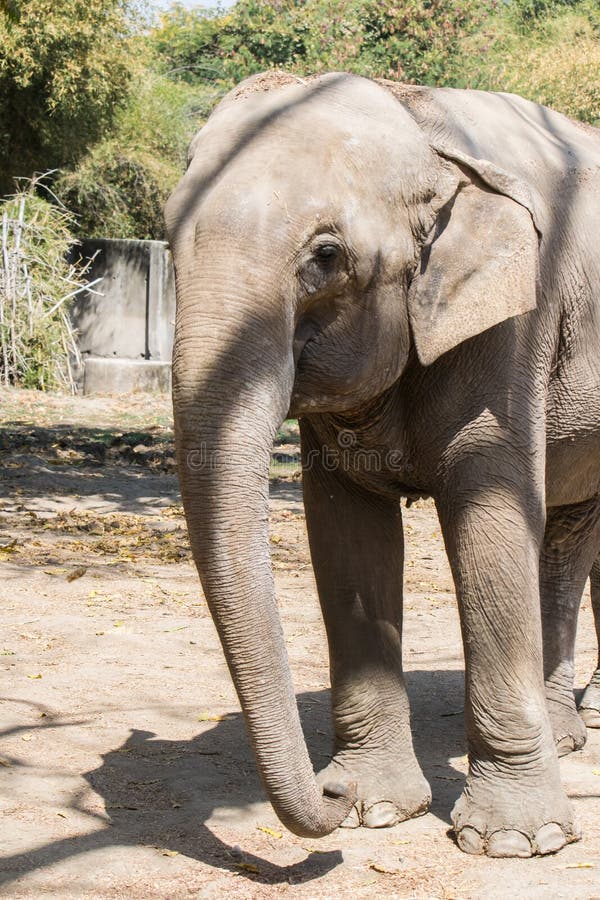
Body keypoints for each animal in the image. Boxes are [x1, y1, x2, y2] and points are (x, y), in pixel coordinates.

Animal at [165, 71, 600, 858]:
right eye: (168, 234)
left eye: (326, 256)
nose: (329, 793)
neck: (423, 126)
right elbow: (346, 534)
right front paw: (374, 808)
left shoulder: (513, 325)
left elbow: (490, 519)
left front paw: (517, 842)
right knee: (570, 535)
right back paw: (568, 737)